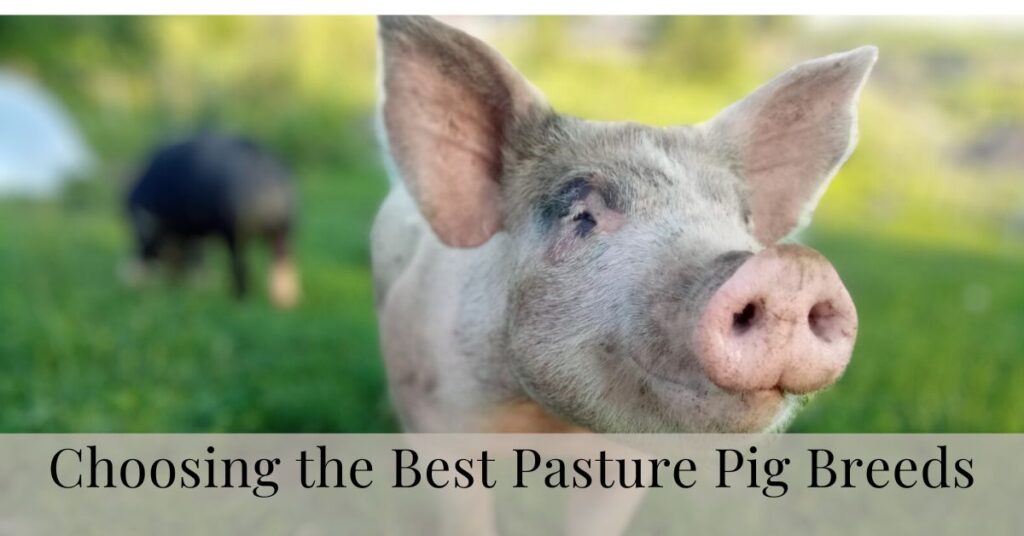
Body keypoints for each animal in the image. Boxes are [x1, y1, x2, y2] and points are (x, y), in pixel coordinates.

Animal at [124, 133, 300, 308]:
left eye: (138, 231)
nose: (133, 274)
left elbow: (189, 256)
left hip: (237, 232)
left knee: (240, 266)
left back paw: (239, 299)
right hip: (282, 231)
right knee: (282, 262)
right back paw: (285, 302)